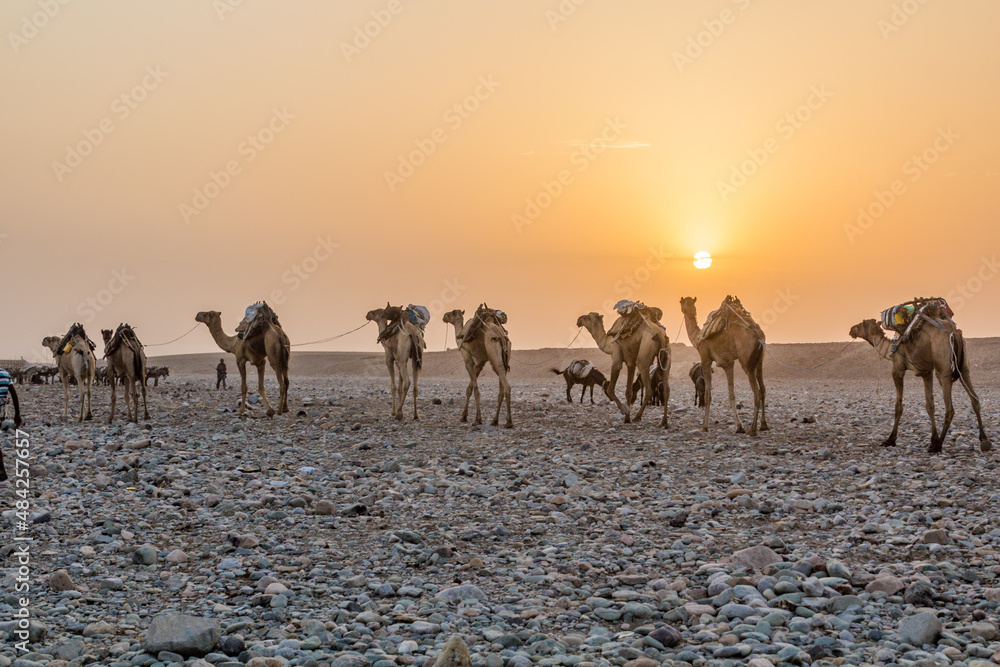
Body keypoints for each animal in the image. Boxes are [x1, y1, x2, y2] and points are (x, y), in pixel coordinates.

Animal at [680, 296, 767, 435]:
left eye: (681, 303)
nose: (684, 309)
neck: (698, 337)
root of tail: (758, 333)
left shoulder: (705, 359)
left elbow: (708, 394)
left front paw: (705, 426)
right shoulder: (728, 363)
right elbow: (731, 395)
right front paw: (739, 427)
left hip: (746, 361)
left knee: (757, 393)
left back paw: (753, 429)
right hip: (760, 360)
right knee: (763, 389)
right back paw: (764, 425)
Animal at [849, 314, 991, 453]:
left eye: (860, 324)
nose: (851, 330)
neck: (890, 349)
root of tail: (954, 333)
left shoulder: (898, 370)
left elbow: (898, 406)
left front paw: (890, 440)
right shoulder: (926, 372)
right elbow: (930, 406)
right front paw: (932, 439)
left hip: (944, 370)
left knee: (950, 409)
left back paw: (938, 446)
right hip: (964, 368)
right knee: (975, 400)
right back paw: (983, 439)